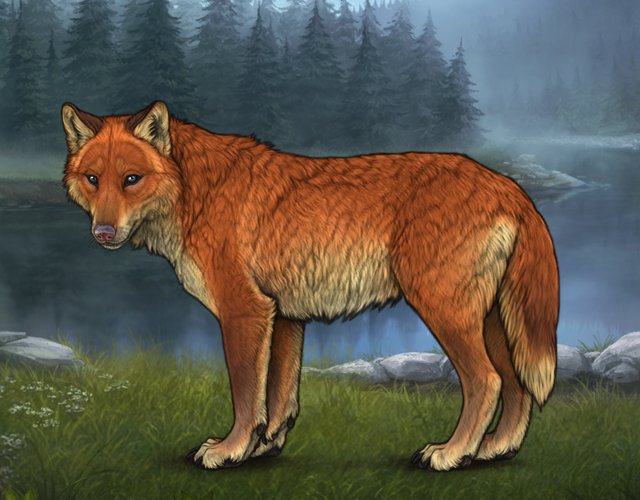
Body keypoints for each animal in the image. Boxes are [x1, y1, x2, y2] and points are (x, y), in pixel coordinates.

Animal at [61, 101, 559, 472]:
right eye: (93, 180)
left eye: (131, 179)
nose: (103, 232)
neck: (195, 192)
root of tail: (509, 185)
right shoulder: (283, 317)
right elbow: (278, 400)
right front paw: (262, 449)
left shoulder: (245, 311)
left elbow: (246, 394)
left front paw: (229, 450)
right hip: (491, 322)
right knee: (516, 385)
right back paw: (495, 450)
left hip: (446, 313)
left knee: (487, 382)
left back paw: (452, 454)